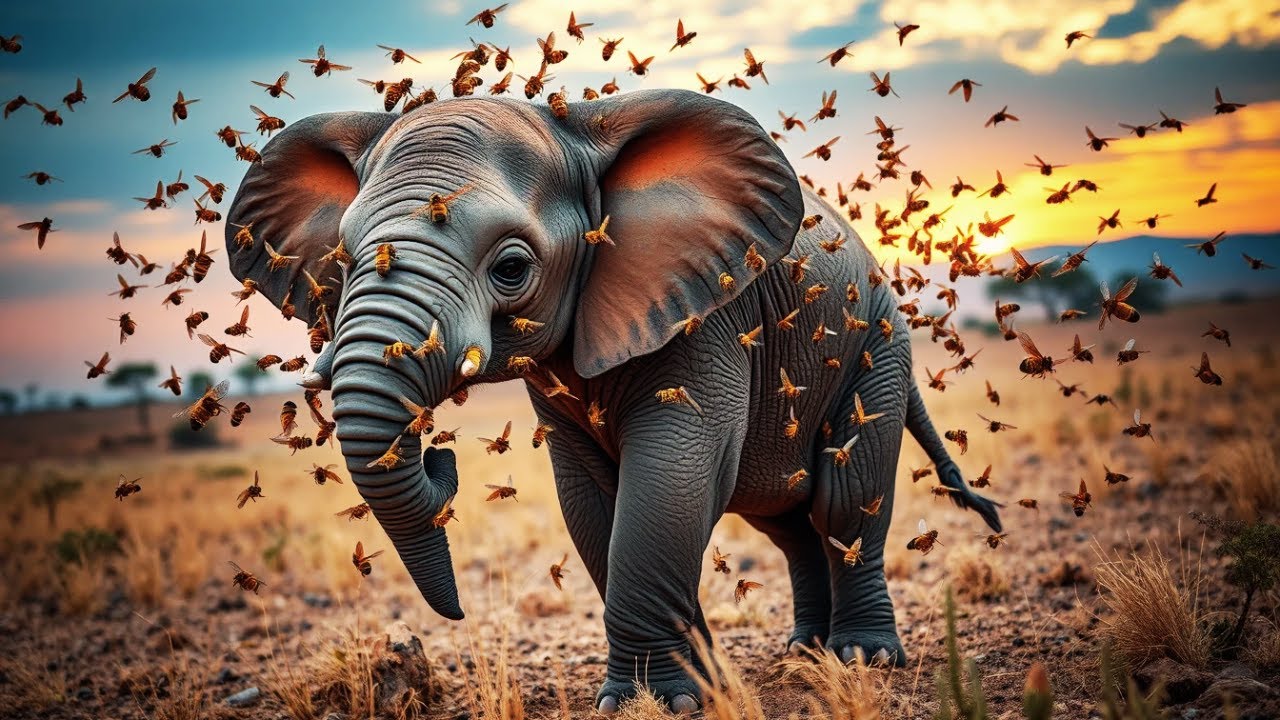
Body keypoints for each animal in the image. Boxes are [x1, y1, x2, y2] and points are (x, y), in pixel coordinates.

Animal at [223, 88, 1001, 713]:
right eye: (341, 263)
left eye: (512, 268)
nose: (441, 459)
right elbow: (593, 503)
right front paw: (699, 688)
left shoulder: (707, 317)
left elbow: (666, 487)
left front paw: (657, 702)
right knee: (785, 518)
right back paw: (804, 651)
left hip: (877, 346)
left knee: (844, 499)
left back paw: (862, 659)